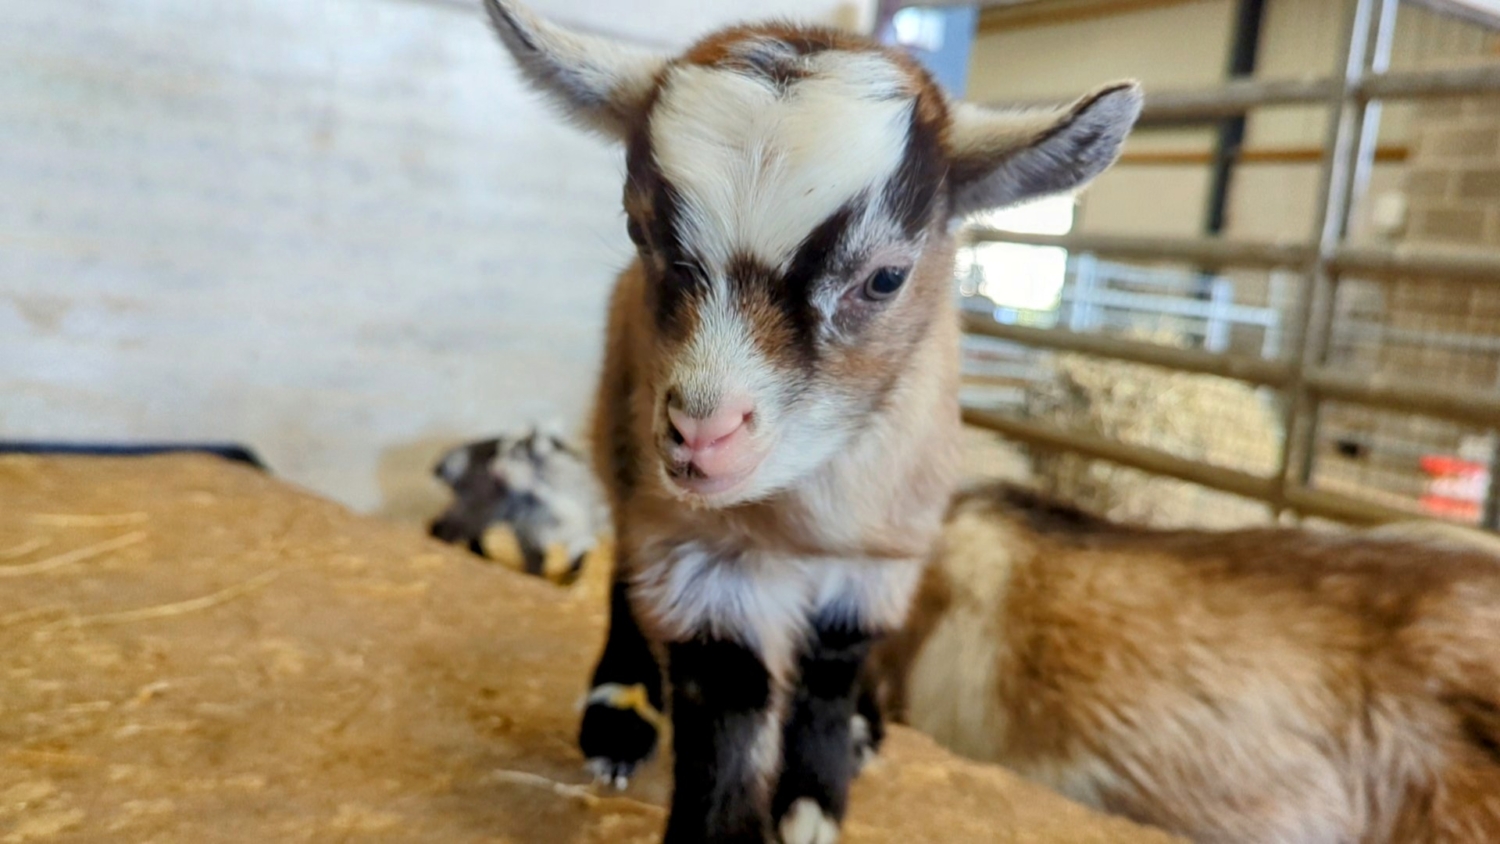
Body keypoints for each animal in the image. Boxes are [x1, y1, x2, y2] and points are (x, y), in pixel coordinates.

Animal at [429, 428, 604, 582]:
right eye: (502, 452)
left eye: (513, 454)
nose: (492, 466)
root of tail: (459, 455)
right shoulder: (528, 528)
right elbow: (535, 557)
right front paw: (536, 577)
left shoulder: (581, 527)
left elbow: (579, 553)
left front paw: (571, 576)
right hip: (484, 505)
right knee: (453, 523)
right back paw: (445, 543)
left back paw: (480, 554)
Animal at [481, 3, 1141, 840]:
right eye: (638, 231)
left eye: (886, 277)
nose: (703, 434)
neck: (793, 516)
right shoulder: (694, 545)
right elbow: (724, 693)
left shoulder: (883, 550)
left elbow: (832, 667)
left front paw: (812, 801)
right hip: (622, 442)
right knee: (625, 574)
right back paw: (618, 714)